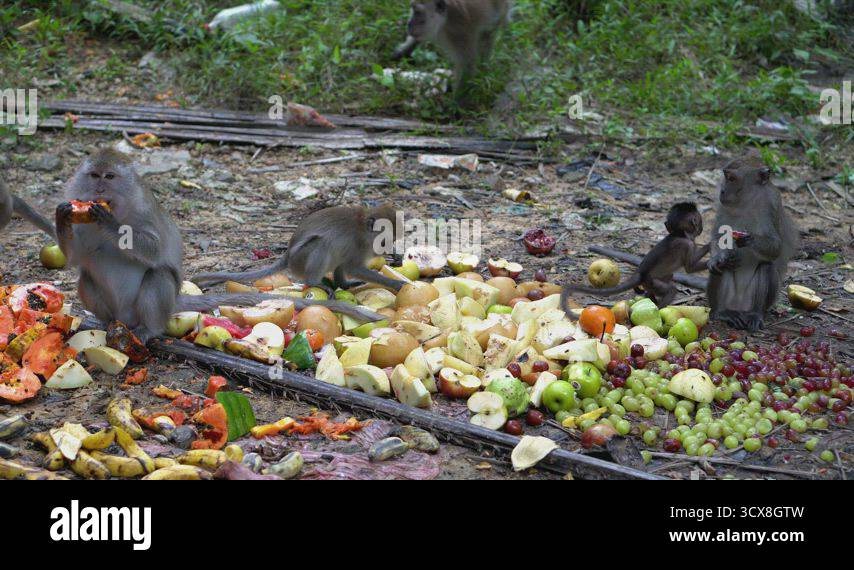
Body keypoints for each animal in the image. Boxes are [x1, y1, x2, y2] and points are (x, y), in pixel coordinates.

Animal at [56, 149, 384, 346]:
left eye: (109, 177)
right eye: (94, 176)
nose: (98, 189)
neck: (121, 207)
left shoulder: (143, 210)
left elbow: (154, 250)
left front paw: (110, 223)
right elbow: (75, 258)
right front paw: (61, 217)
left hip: (153, 308)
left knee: (159, 276)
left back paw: (149, 329)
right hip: (117, 311)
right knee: (86, 278)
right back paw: (107, 324)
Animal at [192, 204, 407, 294]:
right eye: (384, 240)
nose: (388, 249)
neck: (363, 229)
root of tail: (287, 257)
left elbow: (345, 266)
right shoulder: (358, 247)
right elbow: (354, 268)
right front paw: (395, 283)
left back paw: (341, 285)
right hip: (301, 258)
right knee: (323, 244)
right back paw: (315, 282)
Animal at [560, 202, 711, 312]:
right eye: (700, 222)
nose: (702, 229)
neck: (679, 234)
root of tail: (640, 273)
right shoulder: (688, 245)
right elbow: (690, 268)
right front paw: (711, 249)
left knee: (667, 278)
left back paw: (649, 298)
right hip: (651, 281)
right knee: (671, 290)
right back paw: (658, 309)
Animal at [706, 157, 799, 332]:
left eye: (732, 179)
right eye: (726, 176)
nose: (722, 191)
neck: (748, 202)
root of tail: (739, 306)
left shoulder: (772, 205)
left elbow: (776, 247)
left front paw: (750, 240)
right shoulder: (723, 206)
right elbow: (718, 236)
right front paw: (717, 258)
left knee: (766, 266)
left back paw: (755, 314)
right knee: (723, 268)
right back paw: (722, 312)